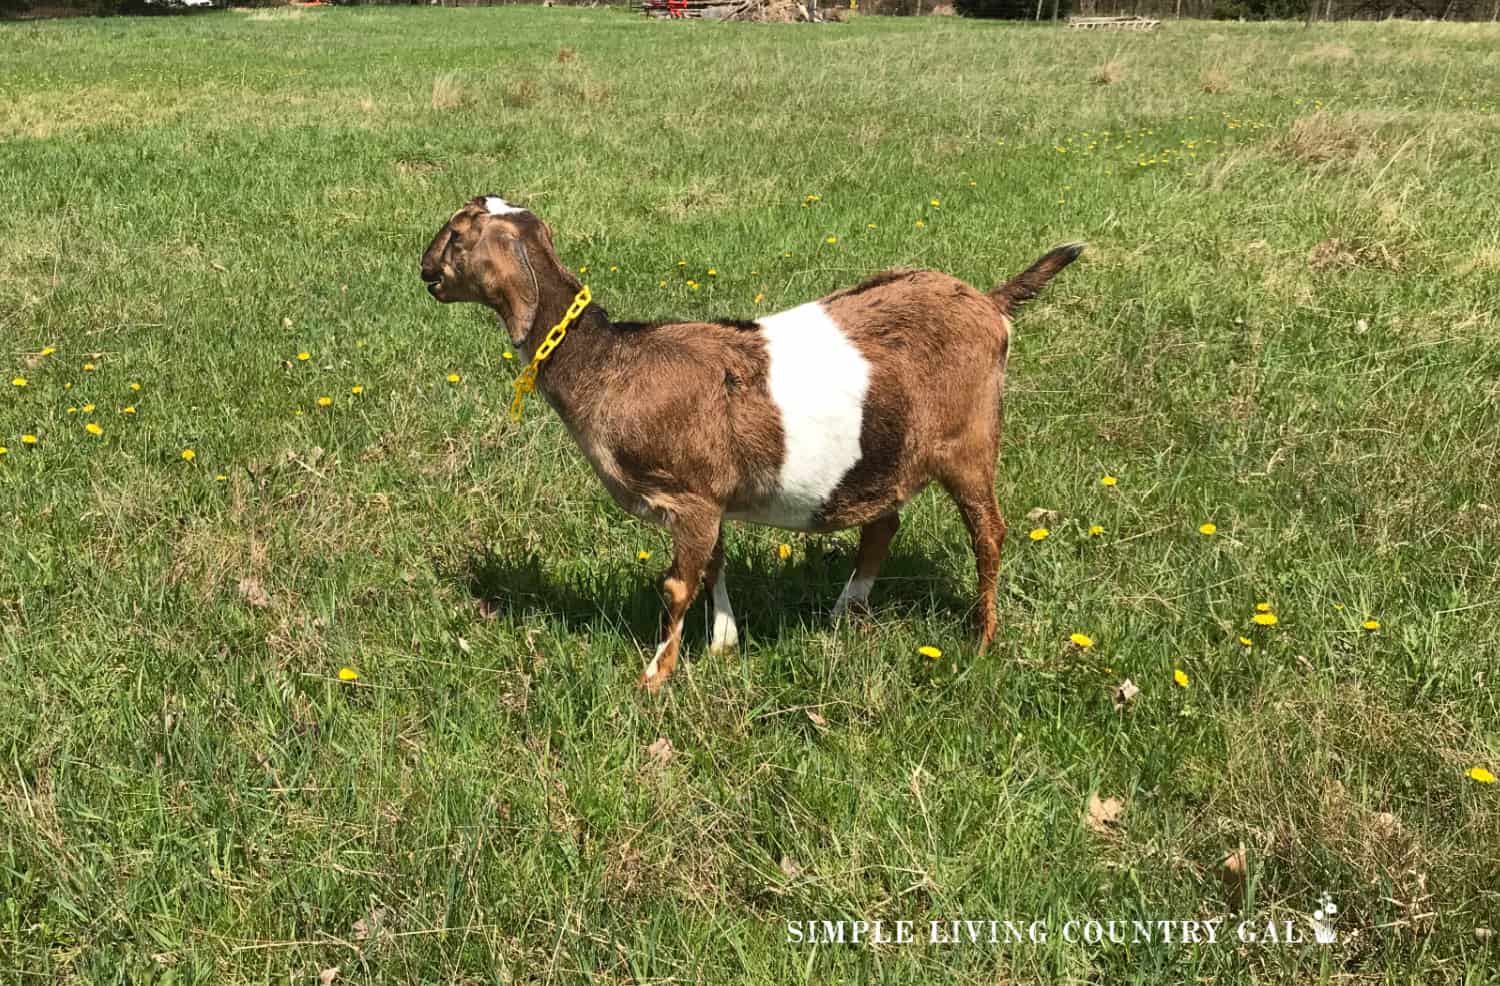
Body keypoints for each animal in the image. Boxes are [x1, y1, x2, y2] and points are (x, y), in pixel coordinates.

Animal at [420, 195, 1081, 692]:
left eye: (456, 235)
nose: (424, 272)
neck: (610, 363)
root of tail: (990, 303)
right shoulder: (711, 498)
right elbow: (715, 565)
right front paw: (722, 645)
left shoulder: (690, 497)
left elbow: (677, 584)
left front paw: (653, 677)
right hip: (884, 454)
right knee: (883, 524)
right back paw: (843, 613)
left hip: (970, 441)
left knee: (988, 533)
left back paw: (982, 639)